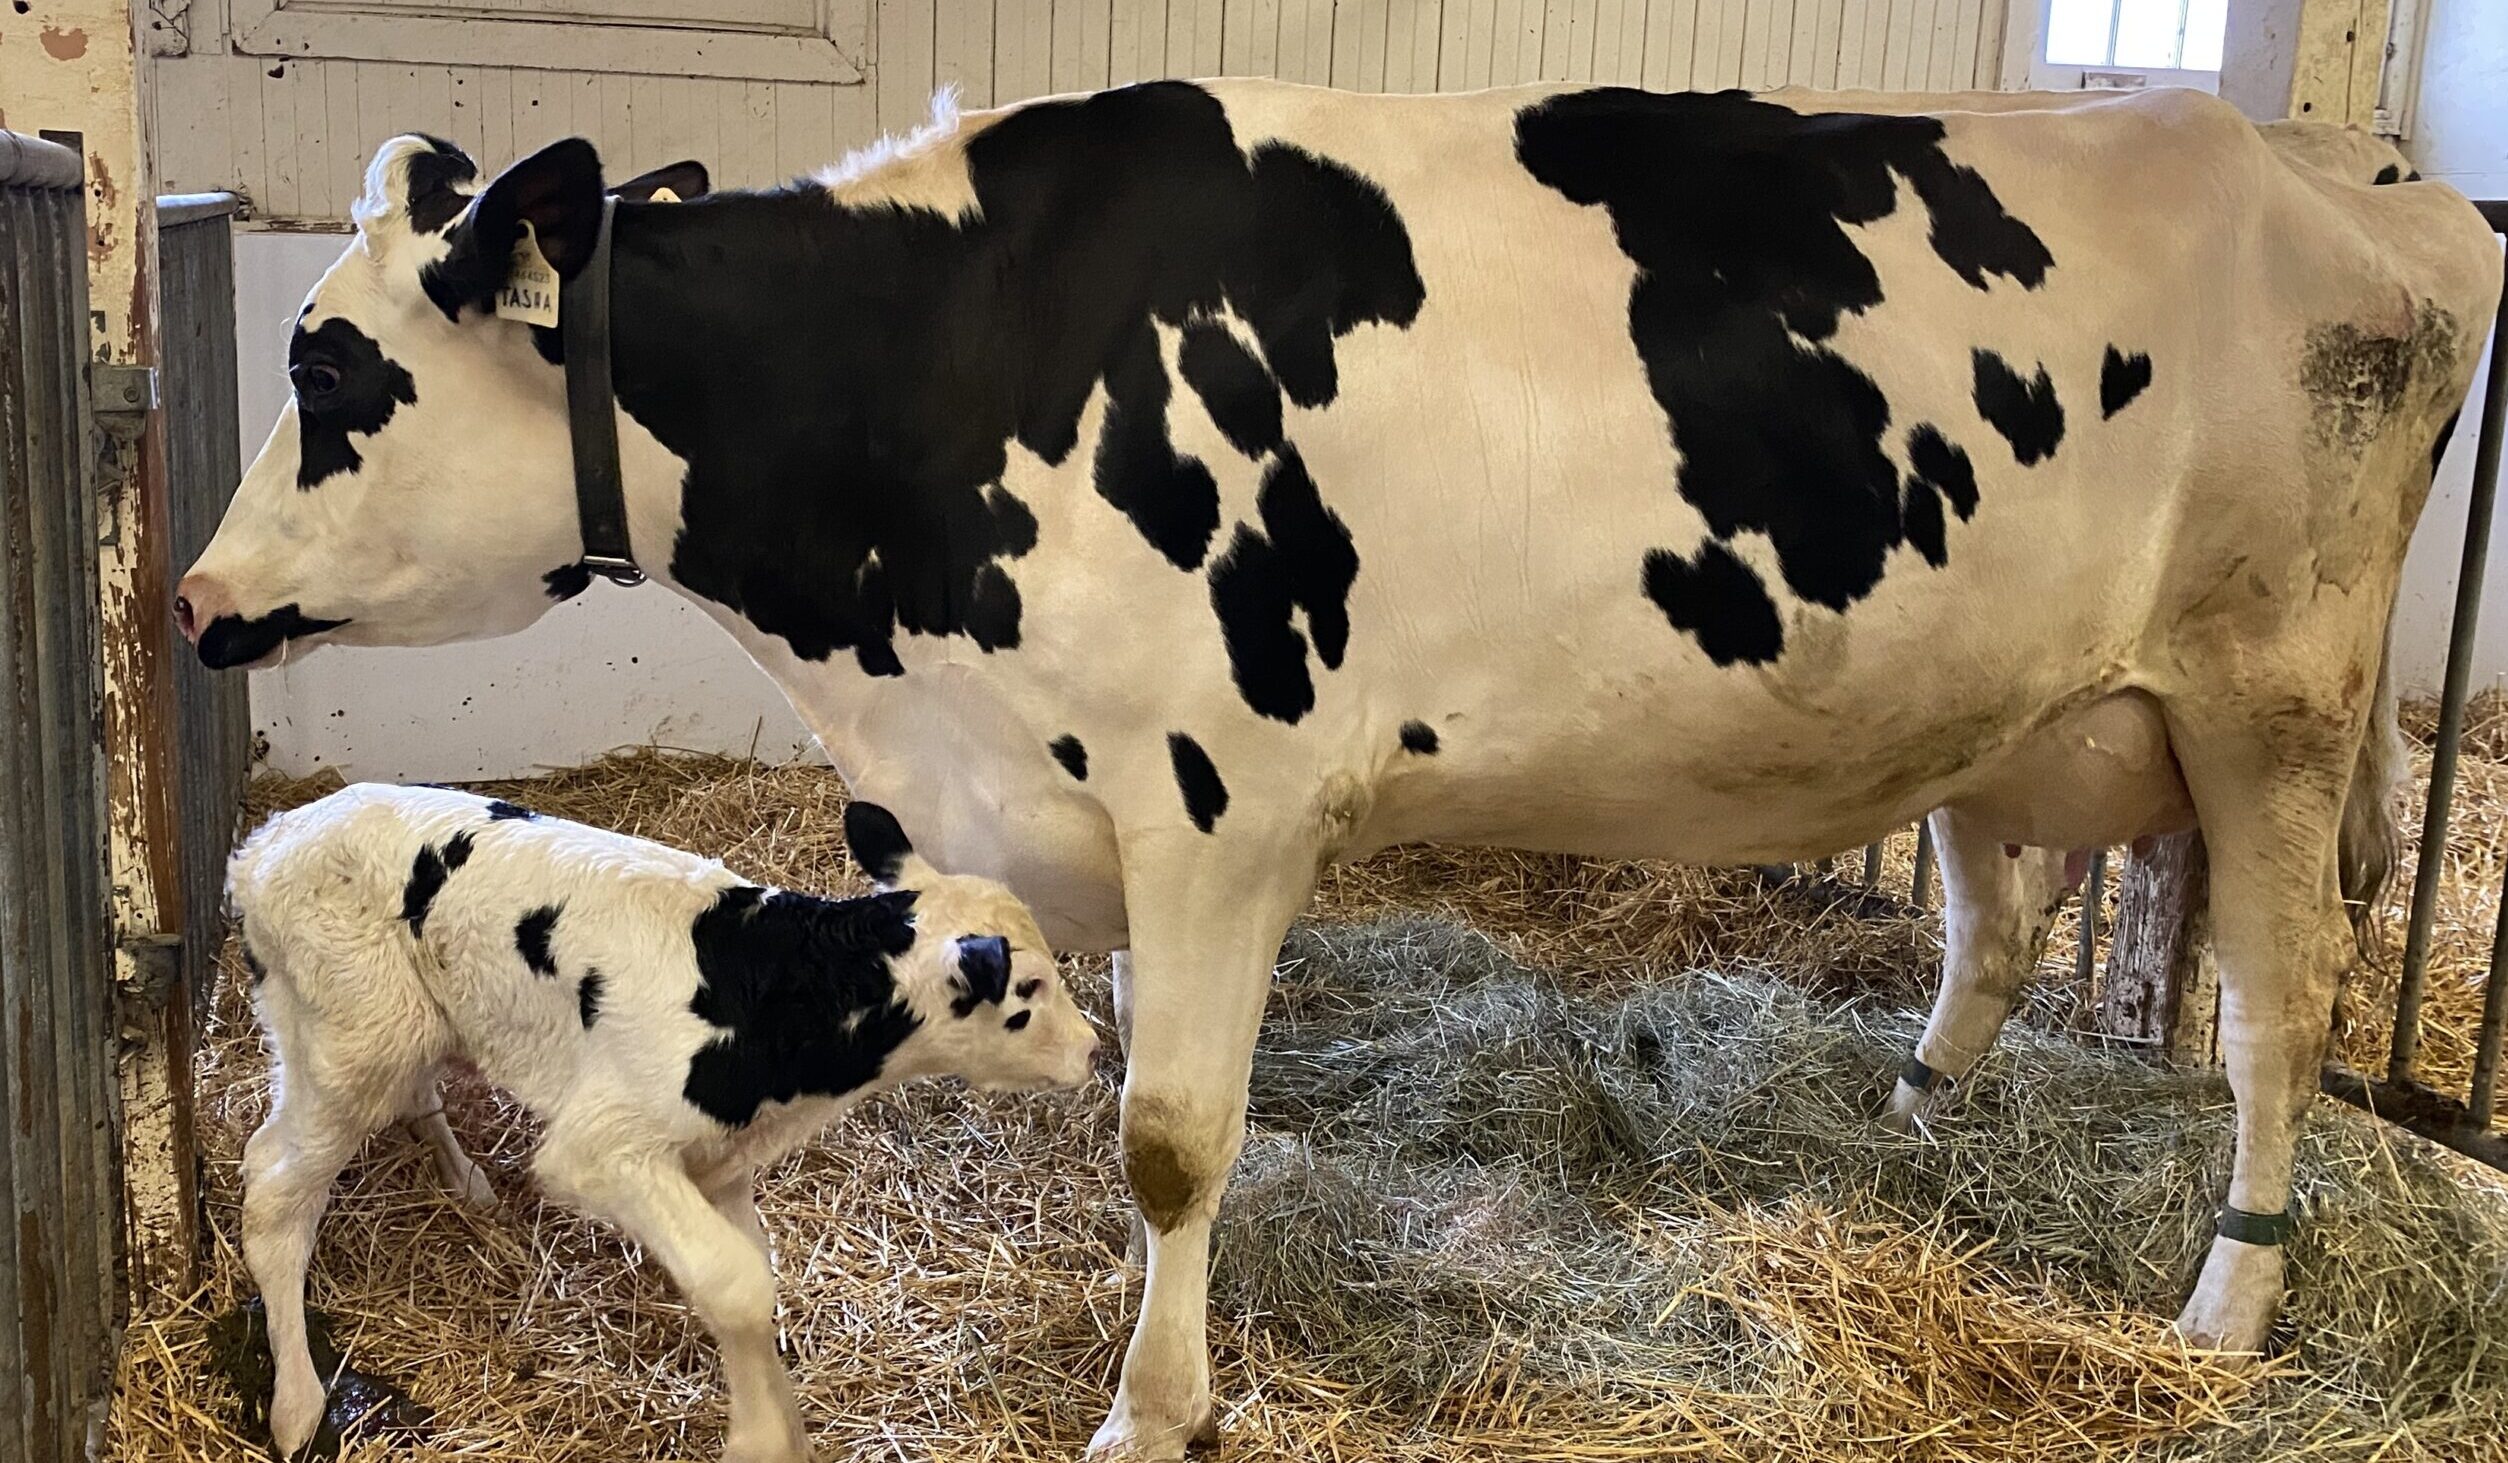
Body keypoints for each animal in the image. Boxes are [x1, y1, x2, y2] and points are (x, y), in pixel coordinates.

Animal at [177, 78, 2502, 1458]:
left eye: (328, 365)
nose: (195, 592)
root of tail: (2336, 162)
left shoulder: (1220, 801)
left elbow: (1171, 1137)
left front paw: (1154, 1407)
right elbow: (1122, 1070)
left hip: (2270, 694)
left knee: (2279, 1013)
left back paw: (2225, 1302)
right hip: (2021, 713)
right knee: (1999, 922)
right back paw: (1921, 1113)